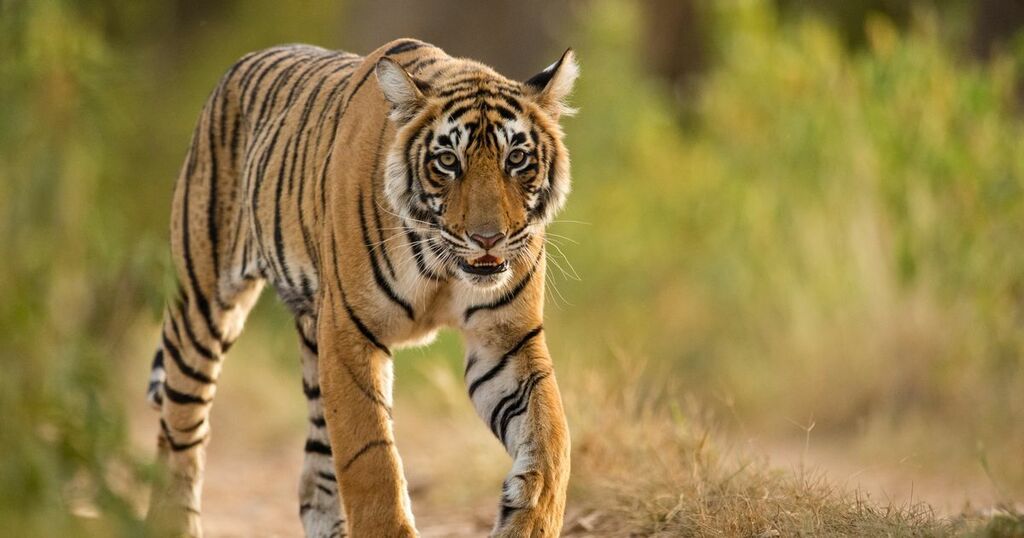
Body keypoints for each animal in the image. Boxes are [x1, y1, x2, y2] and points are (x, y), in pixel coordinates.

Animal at [144, 38, 578, 537]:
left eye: (517, 159)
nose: (488, 238)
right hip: (203, 306)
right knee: (180, 429)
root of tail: (240, 64)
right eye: (448, 161)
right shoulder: (350, 332)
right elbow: (371, 459)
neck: (442, 264)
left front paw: (528, 520)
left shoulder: (505, 339)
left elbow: (551, 437)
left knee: (314, 475)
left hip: (312, 343)